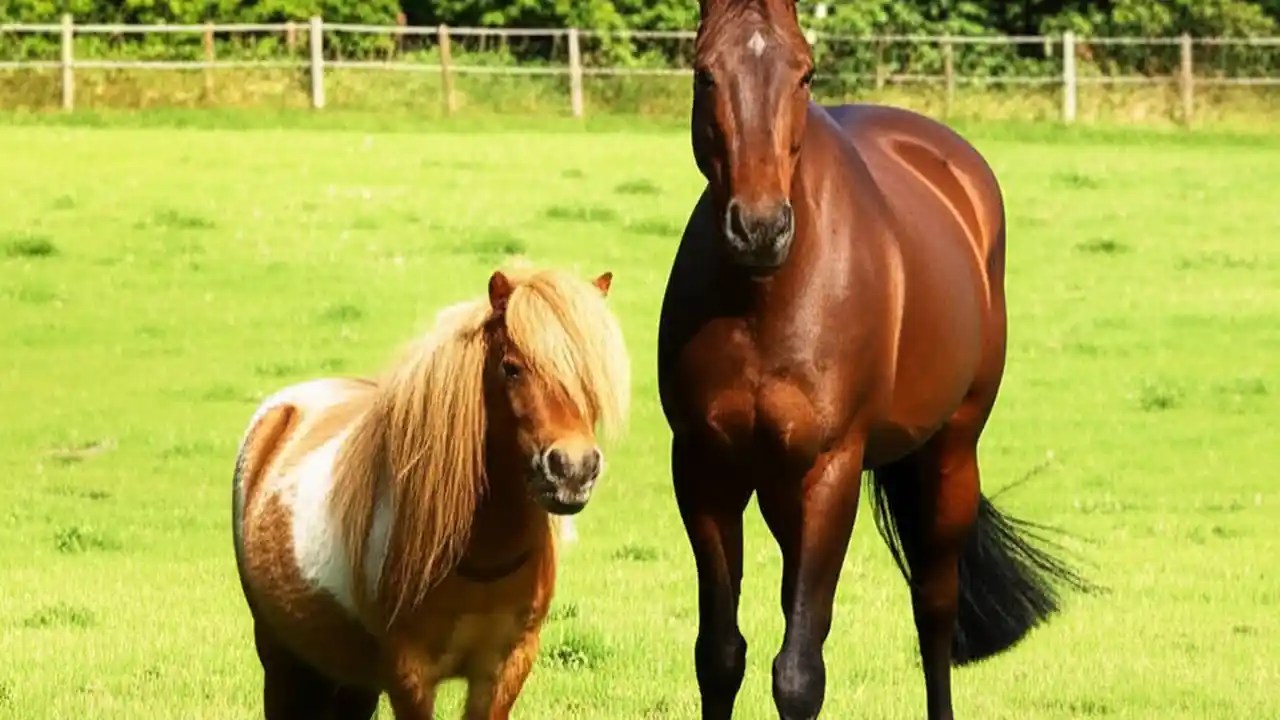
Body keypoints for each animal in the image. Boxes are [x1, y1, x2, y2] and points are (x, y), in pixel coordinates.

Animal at [231, 265, 631, 719]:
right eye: (511, 368)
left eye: (593, 374)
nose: (573, 470)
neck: (479, 556)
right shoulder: (409, 674)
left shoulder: (506, 668)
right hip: (279, 654)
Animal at [656, 2, 1092, 719]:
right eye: (704, 74)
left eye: (805, 74)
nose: (759, 228)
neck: (764, 298)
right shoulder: (703, 468)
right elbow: (719, 655)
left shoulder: (830, 470)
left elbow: (799, 671)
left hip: (950, 453)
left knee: (934, 608)